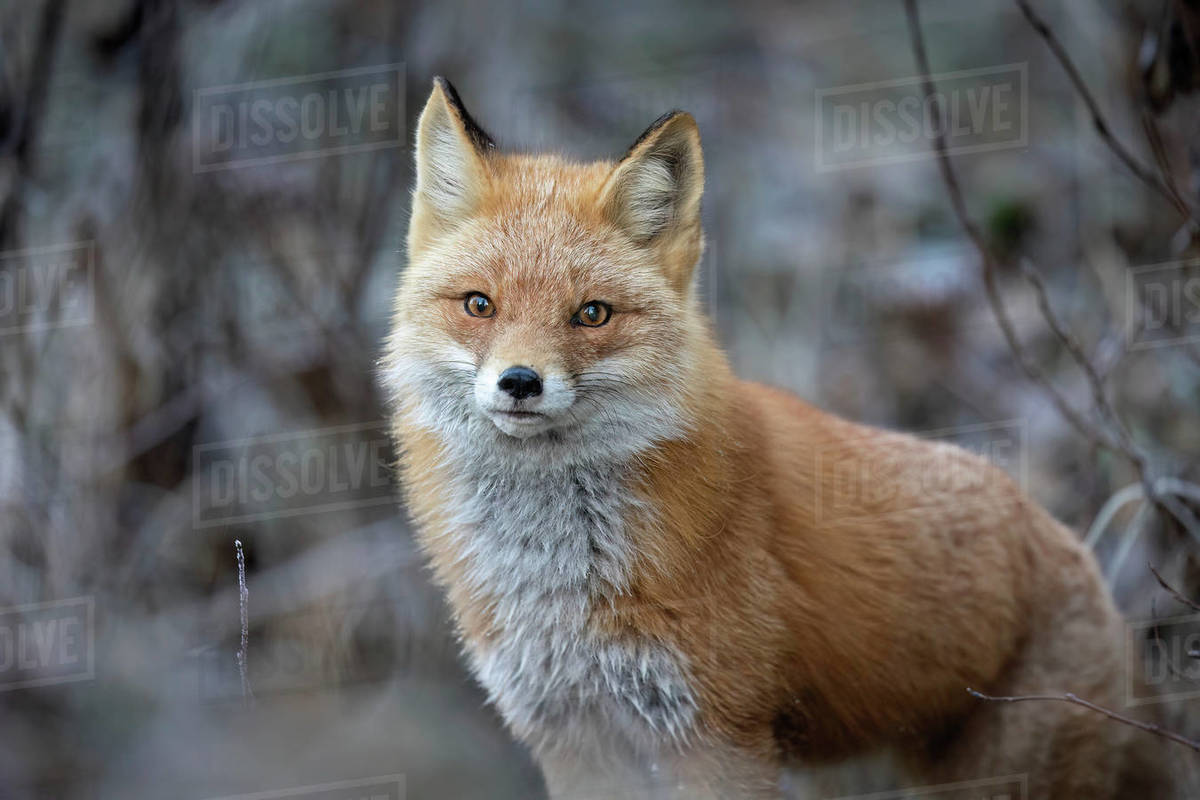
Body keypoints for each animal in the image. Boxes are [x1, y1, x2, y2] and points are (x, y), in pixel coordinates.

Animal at [383, 78, 1178, 799]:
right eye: (479, 305)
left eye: (592, 314)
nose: (519, 382)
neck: (554, 576)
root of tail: (1078, 552)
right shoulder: (574, 735)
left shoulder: (718, 734)